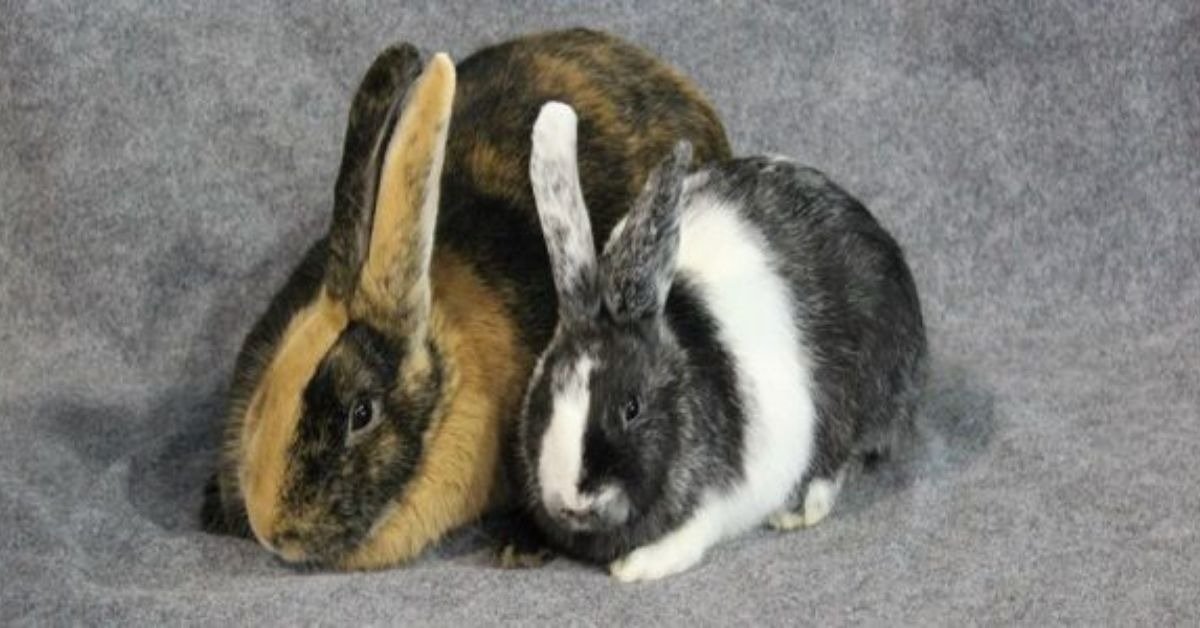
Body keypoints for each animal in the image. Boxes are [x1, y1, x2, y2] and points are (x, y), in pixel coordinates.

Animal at [516, 102, 927, 582]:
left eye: (631, 408)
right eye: (543, 398)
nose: (572, 502)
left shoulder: (717, 502)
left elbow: (689, 536)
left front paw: (634, 567)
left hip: (855, 395)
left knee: (839, 458)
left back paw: (797, 510)